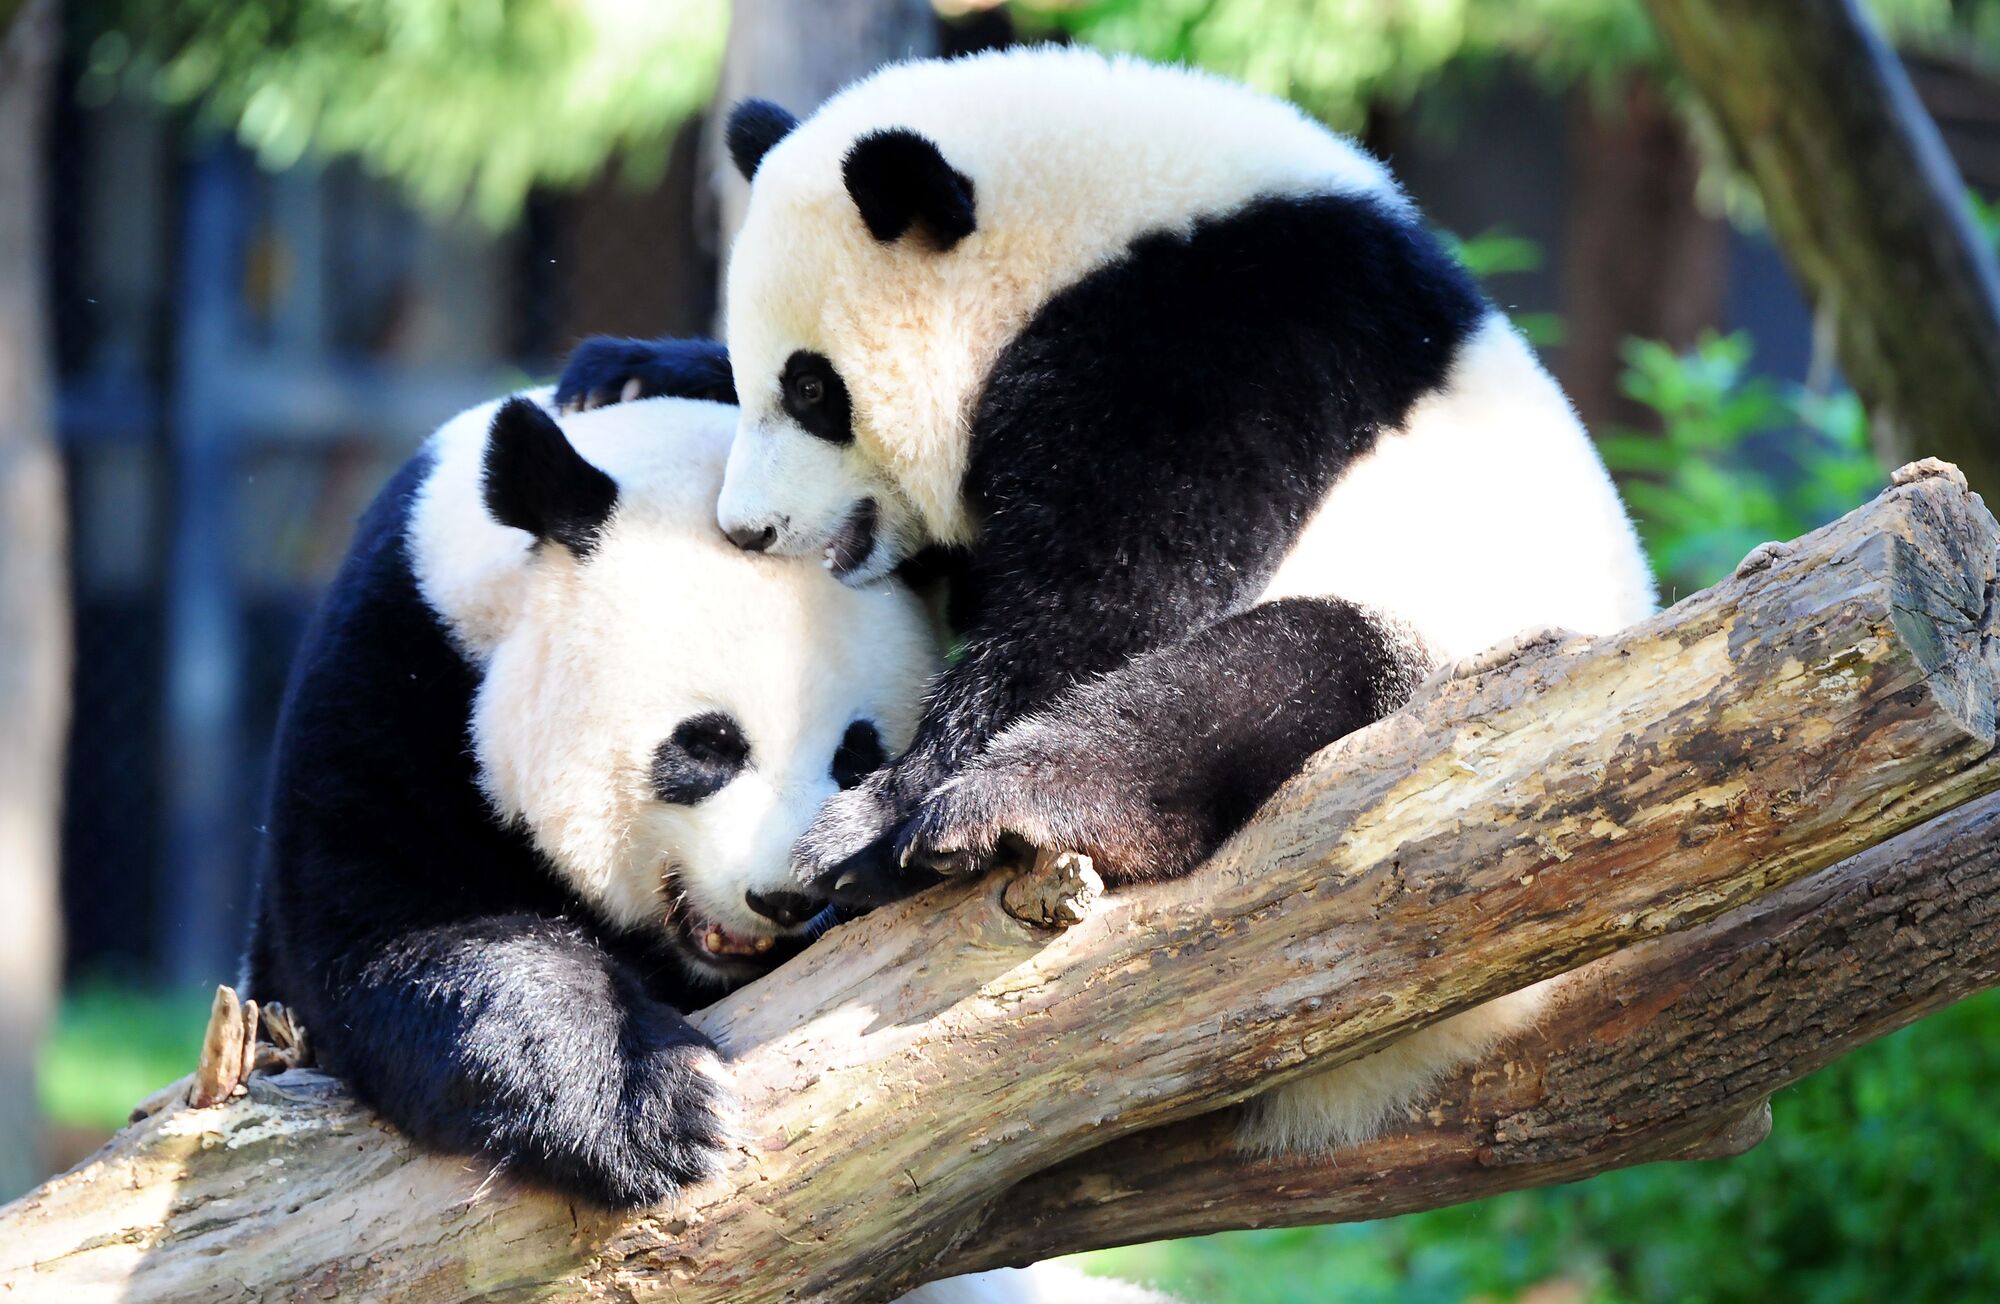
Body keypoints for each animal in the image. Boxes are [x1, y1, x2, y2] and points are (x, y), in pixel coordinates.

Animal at [242, 381, 940, 1210]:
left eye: (856, 753)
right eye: (708, 745)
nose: (784, 899)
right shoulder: (392, 682)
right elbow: (403, 935)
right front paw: (660, 1106)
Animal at [559, 45, 1658, 1154]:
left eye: (815, 389)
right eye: (758, 379)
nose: (749, 527)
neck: (1085, 238)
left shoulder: (1227, 341)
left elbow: (1122, 587)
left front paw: (873, 815)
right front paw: (622, 371)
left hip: (1439, 639)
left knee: (1265, 679)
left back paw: (1006, 812)